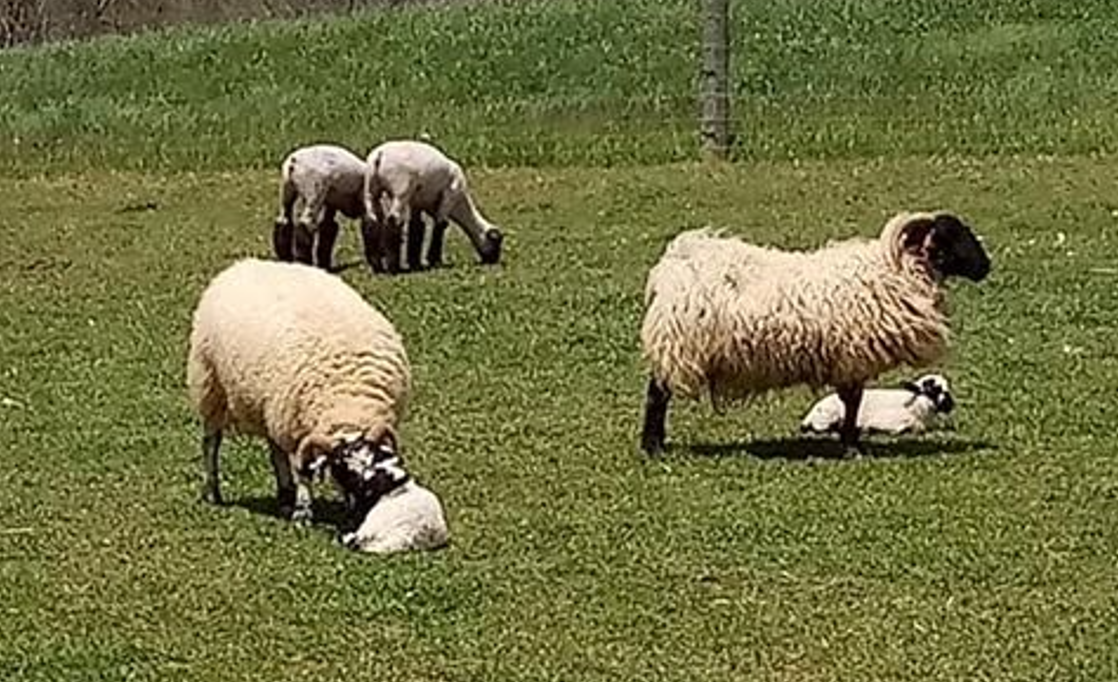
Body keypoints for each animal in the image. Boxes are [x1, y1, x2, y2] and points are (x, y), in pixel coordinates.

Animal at [186, 258, 411, 522]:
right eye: (341, 470)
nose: (359, 511)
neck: (348, 401)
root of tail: (244, 263)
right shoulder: (297, 432)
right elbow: (303, 472)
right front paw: (302, 513)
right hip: (211, 386)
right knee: (211, 443)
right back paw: (213, 491)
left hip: (271, 407)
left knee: (275, 452)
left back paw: (284, 496)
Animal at [273, 143, 376, 272]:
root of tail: (294, 162)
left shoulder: (332, 201)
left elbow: (328, 227)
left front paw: (324, 263)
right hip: (314, 192)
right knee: (305, 224)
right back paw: (305, 262)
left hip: (287, 189)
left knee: (284, 219)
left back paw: (286, 259)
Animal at [363, 139, 503, 274]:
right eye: (496, 242)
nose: (493, 260)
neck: (459, 205)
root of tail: (379, 155)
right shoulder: (449, 195)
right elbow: (441, 225)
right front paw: (434, 260)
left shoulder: (417, 203)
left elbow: (417, 226)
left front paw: (415, 263)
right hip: (401, 190)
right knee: (393, 220)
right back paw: (394, 267)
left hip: (371, 190)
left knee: (371, 221)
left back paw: (377, 266)